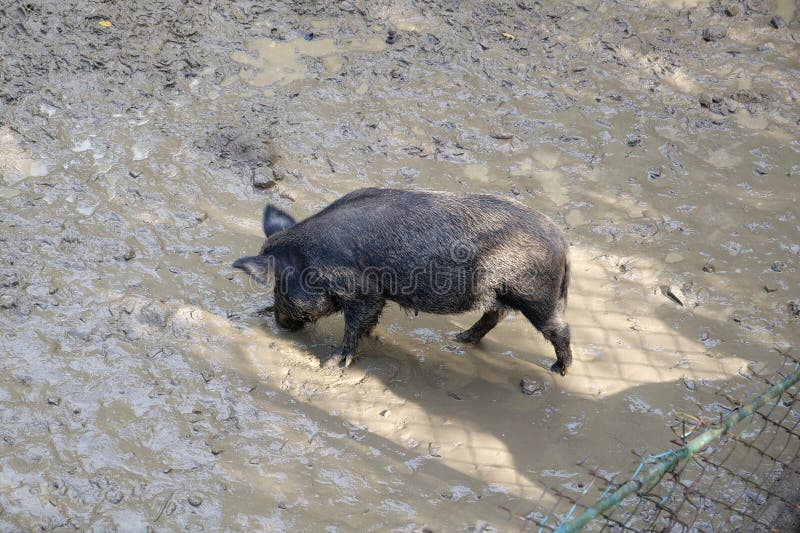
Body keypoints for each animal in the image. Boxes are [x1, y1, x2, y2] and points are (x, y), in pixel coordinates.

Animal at [233, 187, 573, 375]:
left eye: (278, 286)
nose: (279, 323)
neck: (311, 258)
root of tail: (562, 240)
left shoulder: (363, 292)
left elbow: (353, 326)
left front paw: (330, 365)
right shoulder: (376, 296)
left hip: (534, 294)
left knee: (559, 328)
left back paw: (559, 370)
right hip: (502, 293)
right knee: (494, 315)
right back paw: (459, 340)